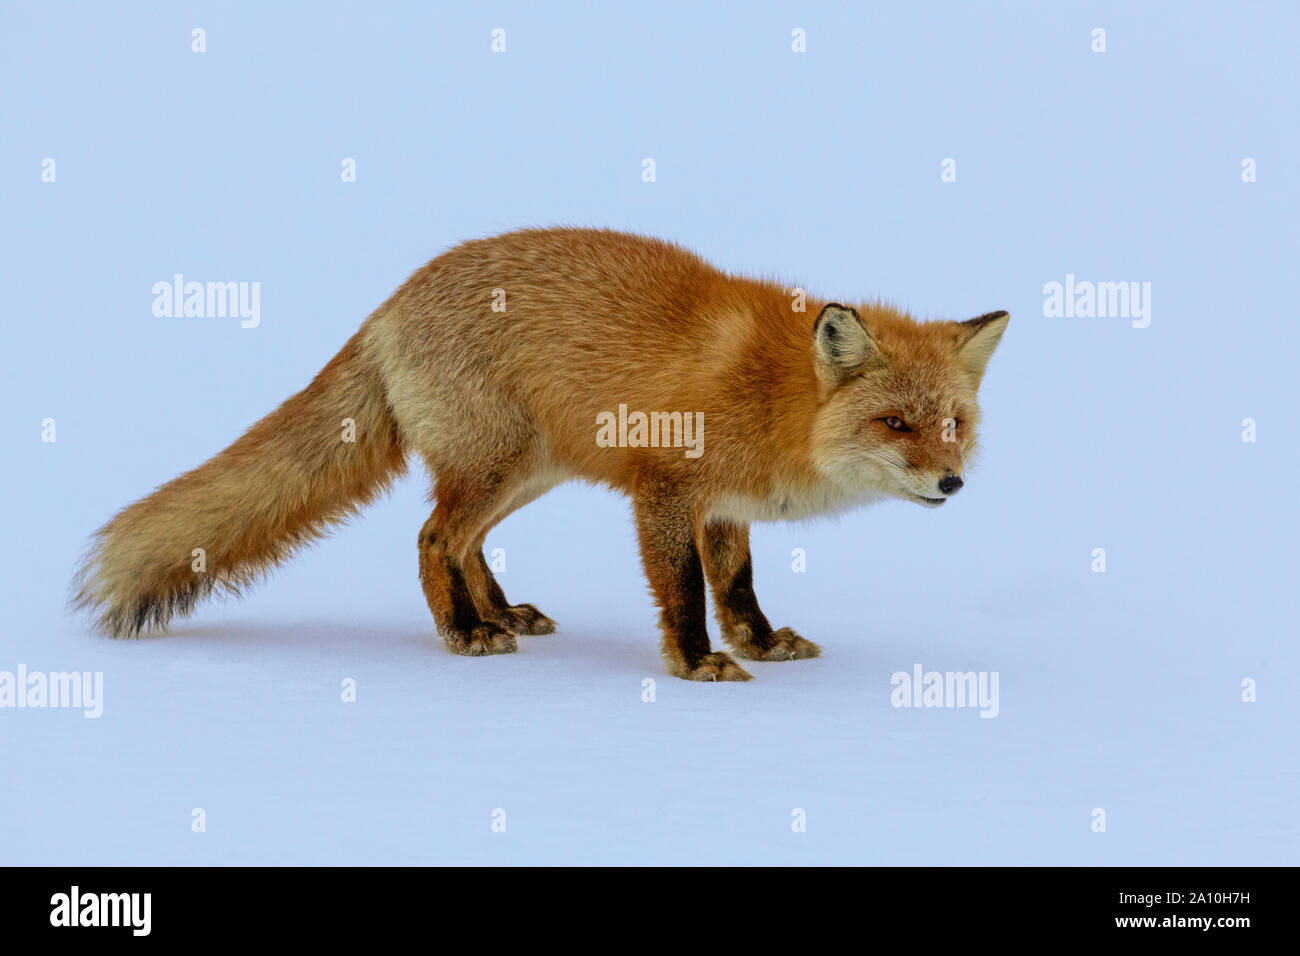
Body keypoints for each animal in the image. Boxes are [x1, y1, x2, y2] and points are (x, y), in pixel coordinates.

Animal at [73, 227, 1009, 681]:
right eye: (895, 423)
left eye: (953, 424)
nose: (954, 482)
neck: (774, 397)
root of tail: (387, 305)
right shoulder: (665, 490)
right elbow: (684, 592)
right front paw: (695, 662)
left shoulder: (725, 509)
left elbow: (738, 587)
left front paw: (761, 642)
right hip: (500, 465)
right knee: (432, 540)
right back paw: (463, 632)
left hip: (528, 472)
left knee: (465, 542)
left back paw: (499, 614)